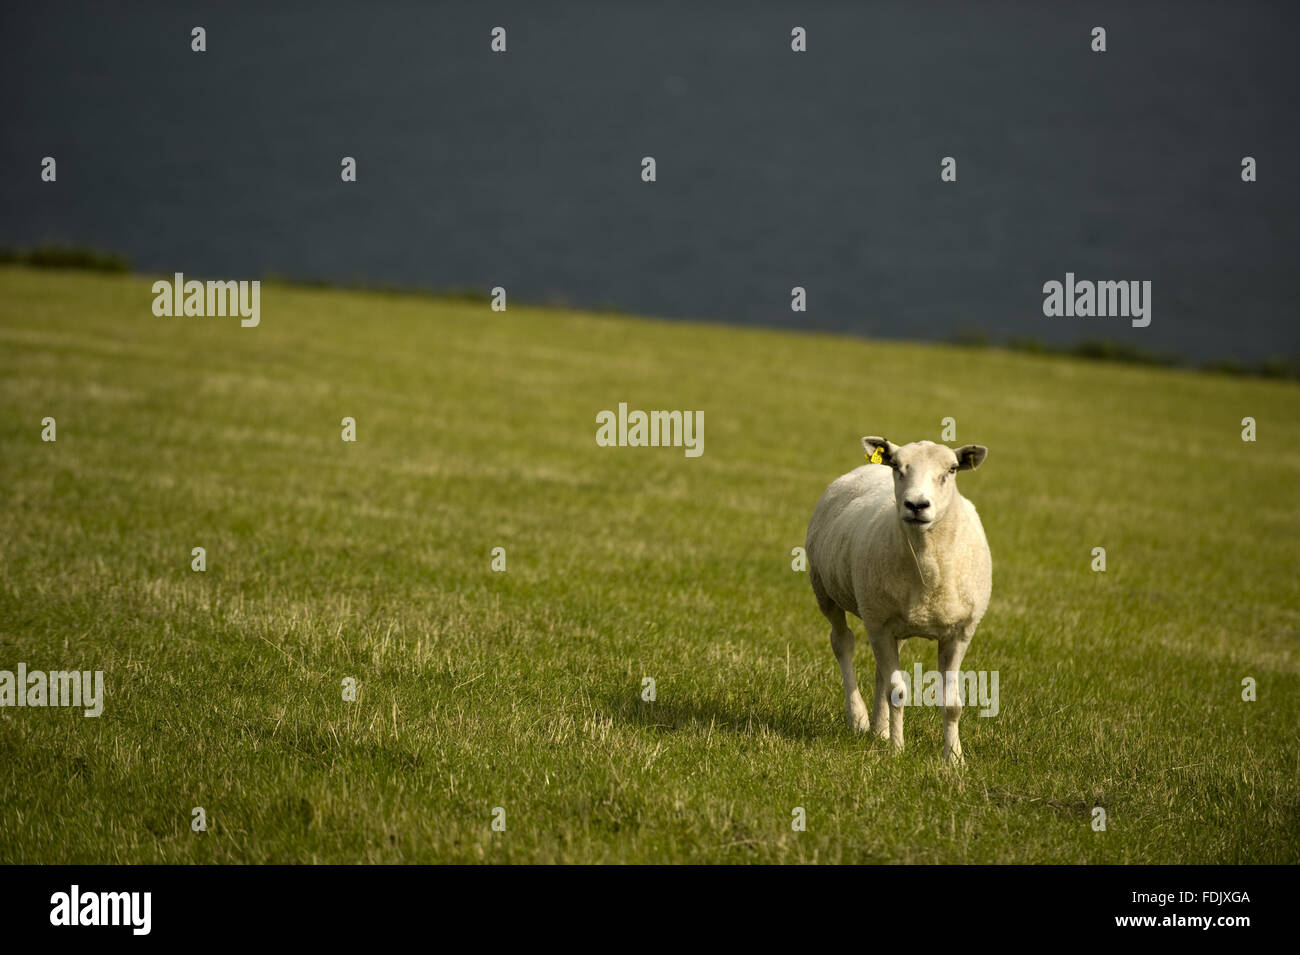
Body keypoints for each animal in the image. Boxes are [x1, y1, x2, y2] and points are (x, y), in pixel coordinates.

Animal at [806, 437, 991, 762]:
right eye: (897, 467)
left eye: (951, 470)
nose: (917, 505)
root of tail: (866, 468)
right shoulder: (879, 622)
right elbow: (898, 693)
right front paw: (896, 751)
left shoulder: (960, 632)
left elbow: (952, 703)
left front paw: (954, 759)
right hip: (827, 592)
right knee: (842, 642)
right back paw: (859, 718)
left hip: (890, 622)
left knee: (881, 670)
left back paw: (879, 730)